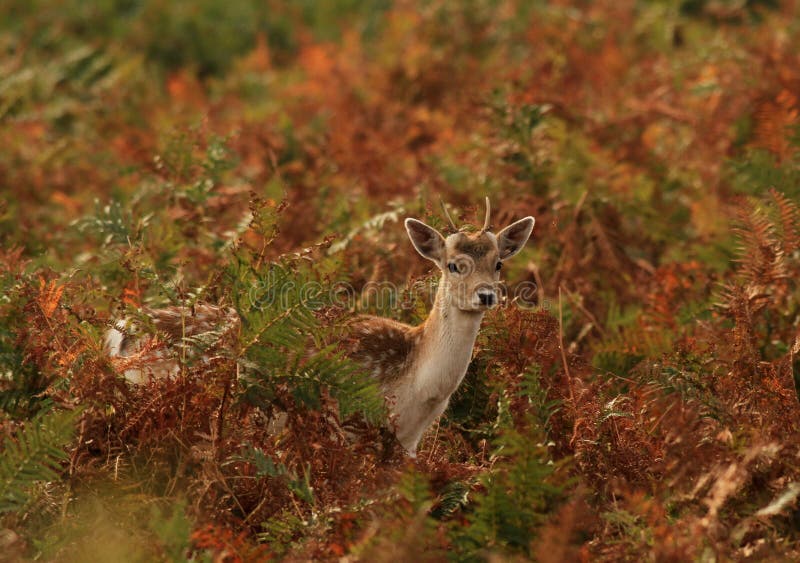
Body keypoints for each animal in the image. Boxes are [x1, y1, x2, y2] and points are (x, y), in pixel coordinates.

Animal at [105, 199, 535, 457]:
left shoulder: (407, 446)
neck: (418, 393)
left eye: (498, 263)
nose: (486, 295)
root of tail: (119, 333)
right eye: (453, 264)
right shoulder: (348, 427)